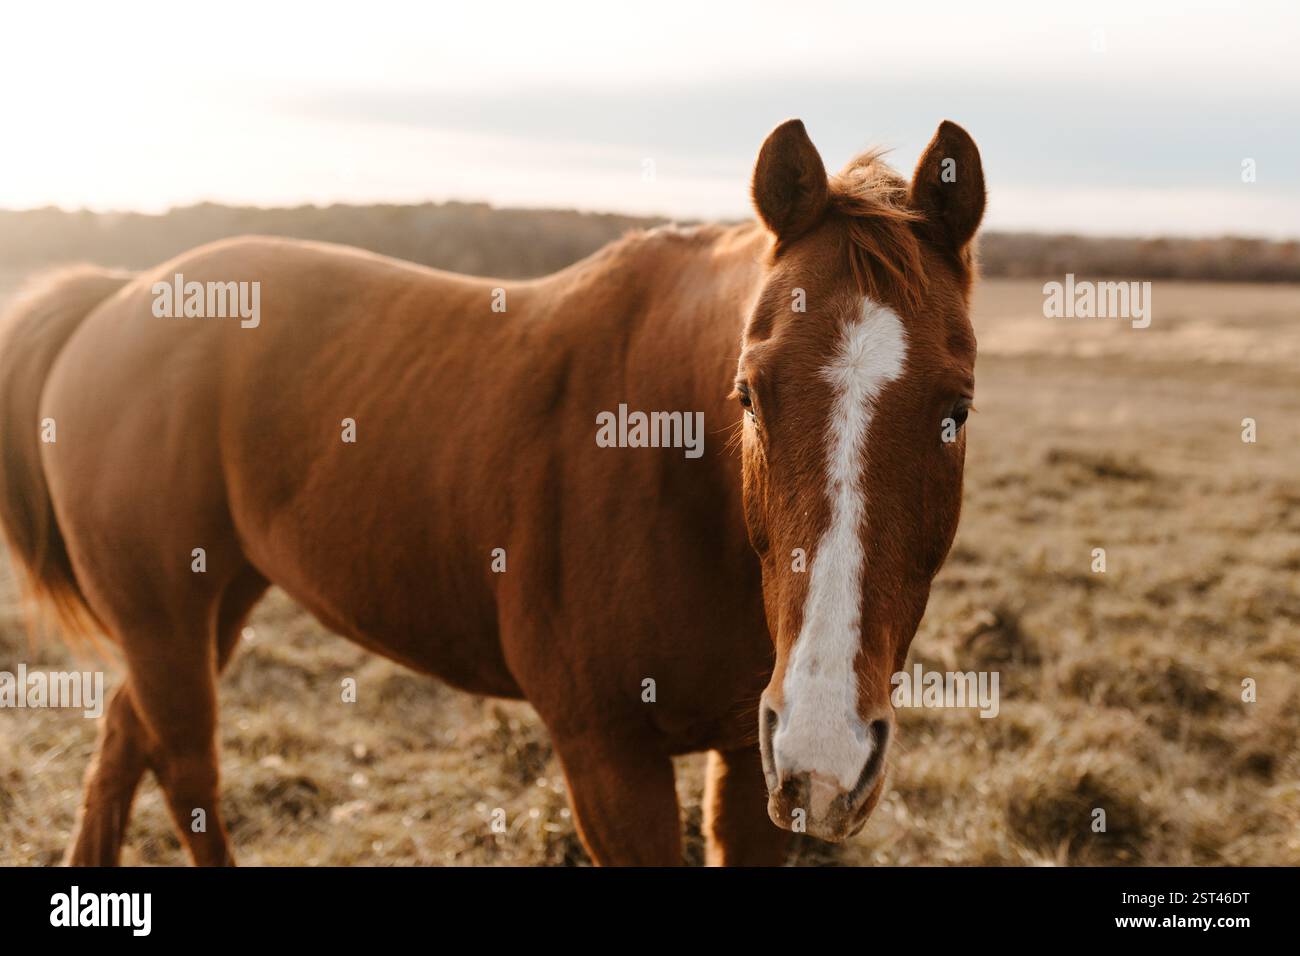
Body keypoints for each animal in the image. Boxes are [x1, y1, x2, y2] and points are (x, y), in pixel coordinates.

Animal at [0, 118, 984, 866]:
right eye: (748, 394)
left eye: (957, 410)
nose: (828, 742)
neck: (676, 478)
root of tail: (118, 296)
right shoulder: (609, 759)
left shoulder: (753, 758)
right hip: (164, 616)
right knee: (185, 767)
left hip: (218, 599)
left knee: (125, 737)